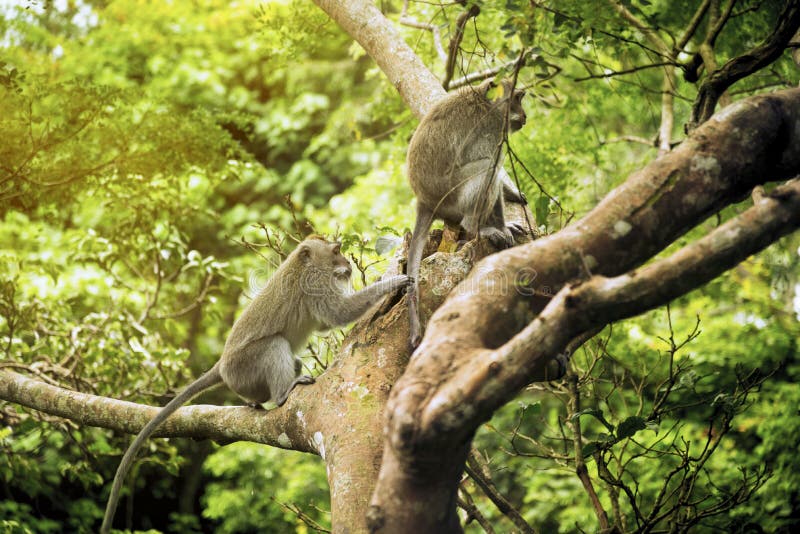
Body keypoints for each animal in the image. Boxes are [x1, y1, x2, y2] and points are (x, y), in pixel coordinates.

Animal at [101, 236, 410, 534]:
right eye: (336, 251)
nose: (346, 264)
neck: (303, 264)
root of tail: (222, 365)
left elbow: (326, 323)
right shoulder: (317, 283)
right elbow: (338, 314)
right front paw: (393, 278)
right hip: (244, 367)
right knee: (275, 344)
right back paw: (284, 393)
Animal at [406, 78, 528, 349]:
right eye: (518, 98)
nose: (525, 115)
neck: (486, 102)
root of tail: (424, 200)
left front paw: (511, 199)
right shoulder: (492, 130)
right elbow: (491, 163)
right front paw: (500, 227)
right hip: (452, 196)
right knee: (485, 167)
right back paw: (476, 227)